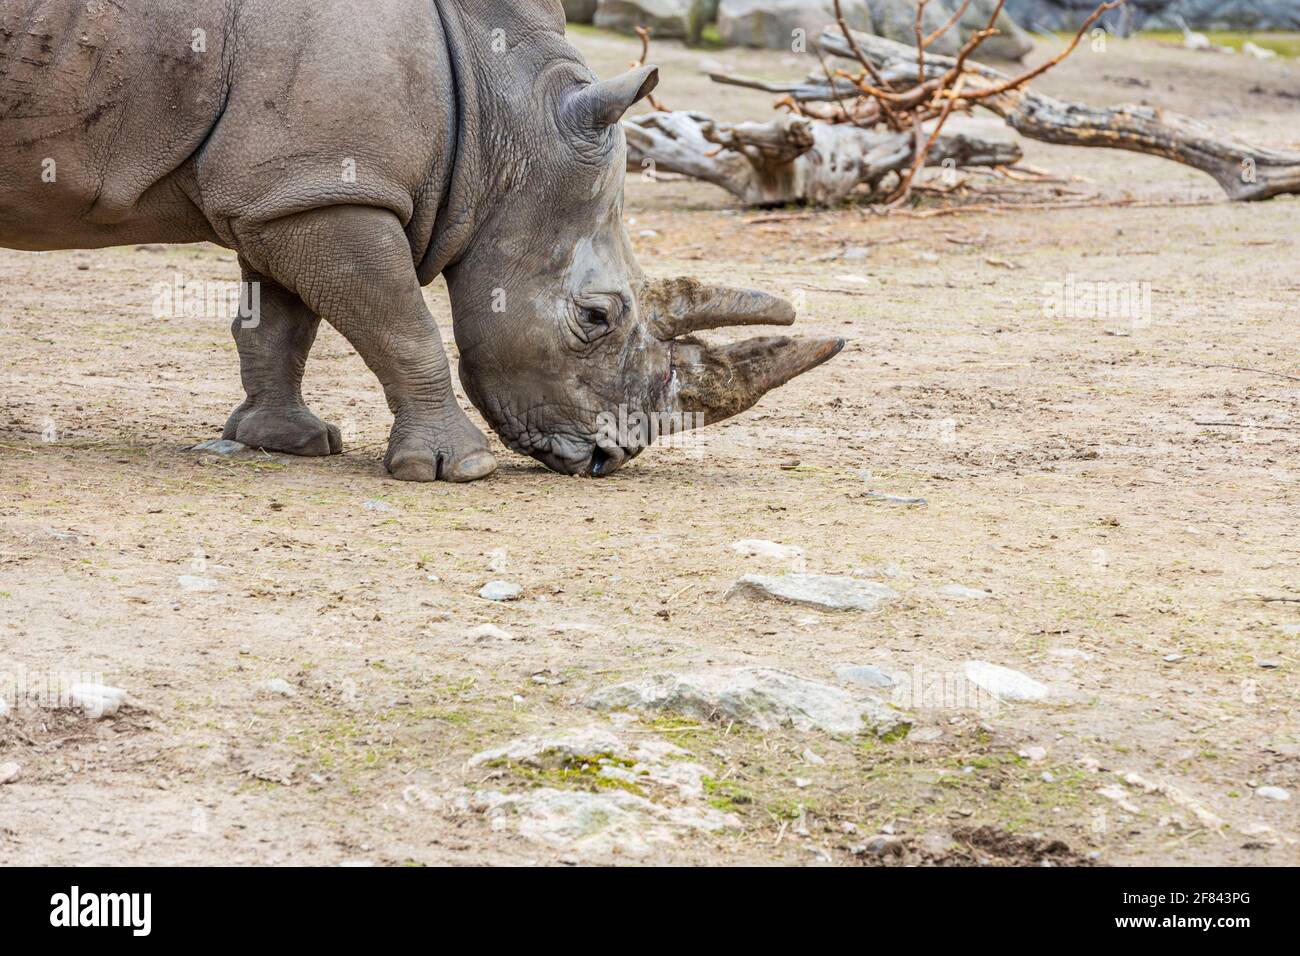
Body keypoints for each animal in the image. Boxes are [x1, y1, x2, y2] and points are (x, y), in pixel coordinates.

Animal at [0, 0, 841, 480]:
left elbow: (280, 323)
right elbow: (401, 324)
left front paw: (286, 443)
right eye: (596, 318)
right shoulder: (325, 190)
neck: (502, 113)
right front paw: (456, 469)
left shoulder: (292, 185)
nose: (609, 459)